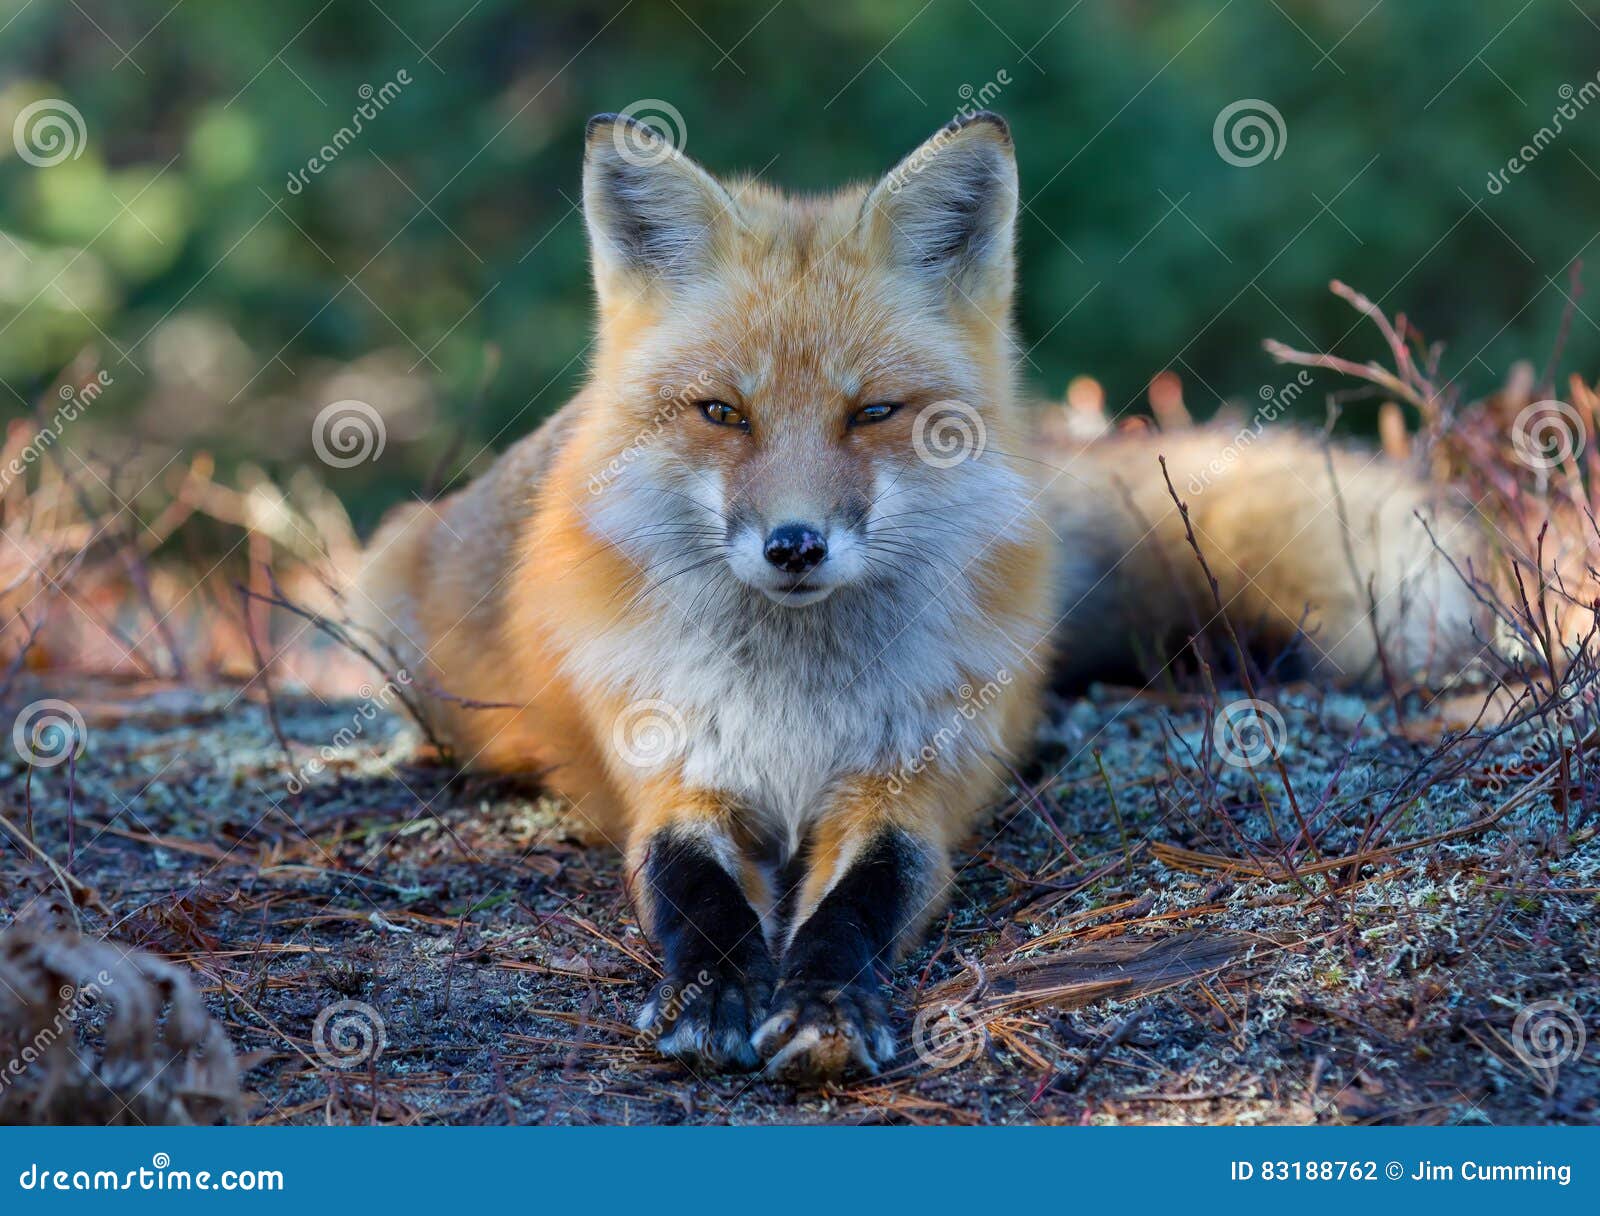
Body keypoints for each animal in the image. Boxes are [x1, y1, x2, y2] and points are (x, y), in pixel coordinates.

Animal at [354, 111, 1479, 1082]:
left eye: (872, 413)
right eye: (722, 413)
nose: (793, 545)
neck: (797, 707)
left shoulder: (911, 786)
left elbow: (860, 898)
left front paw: (824, 1003)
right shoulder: (675, 779)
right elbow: (695, 894)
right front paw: (713, 994)